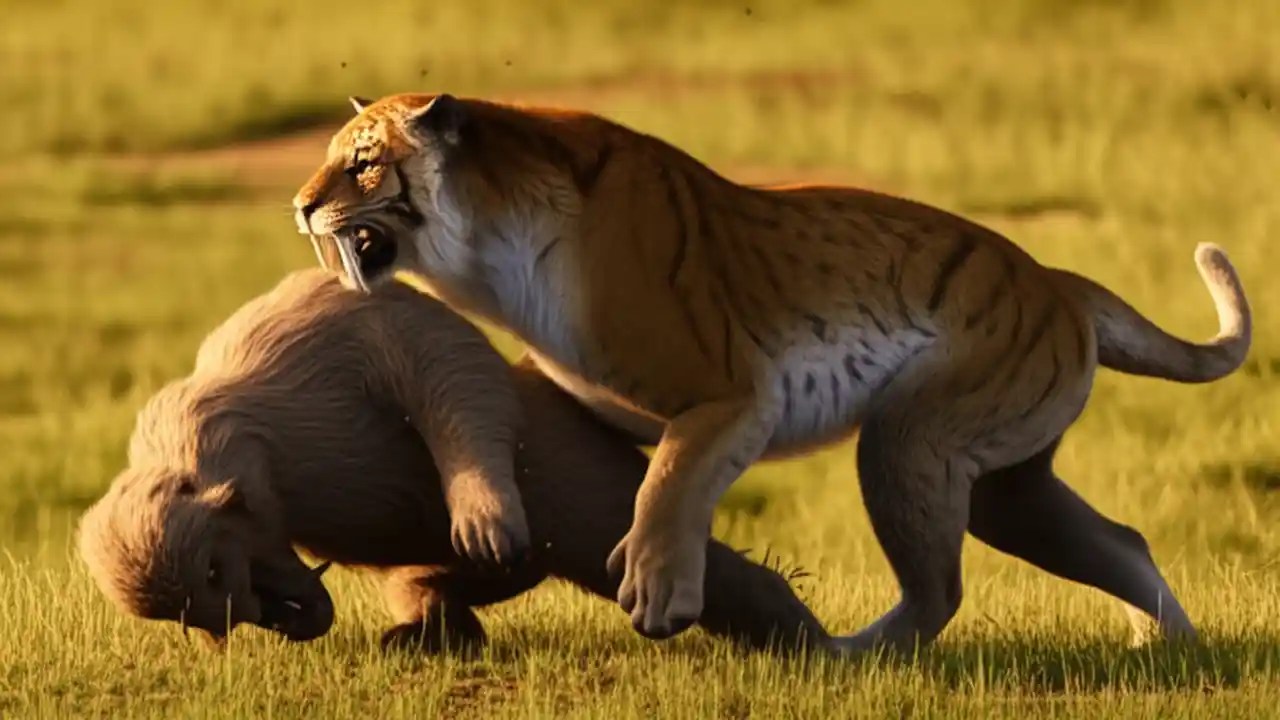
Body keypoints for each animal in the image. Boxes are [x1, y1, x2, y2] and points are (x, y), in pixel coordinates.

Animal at [291, 92, 1251, 652]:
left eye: (363, 162)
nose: (301, 206)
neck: (489, 253)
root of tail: (1055, 279)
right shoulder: (591, 403)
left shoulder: (731, 394)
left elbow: (670, 485)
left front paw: (658, 593)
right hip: (1009, 485)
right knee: (1119, 541)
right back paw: (1169, 650)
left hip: (911, 441)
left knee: (939, 589)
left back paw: (852, 655)